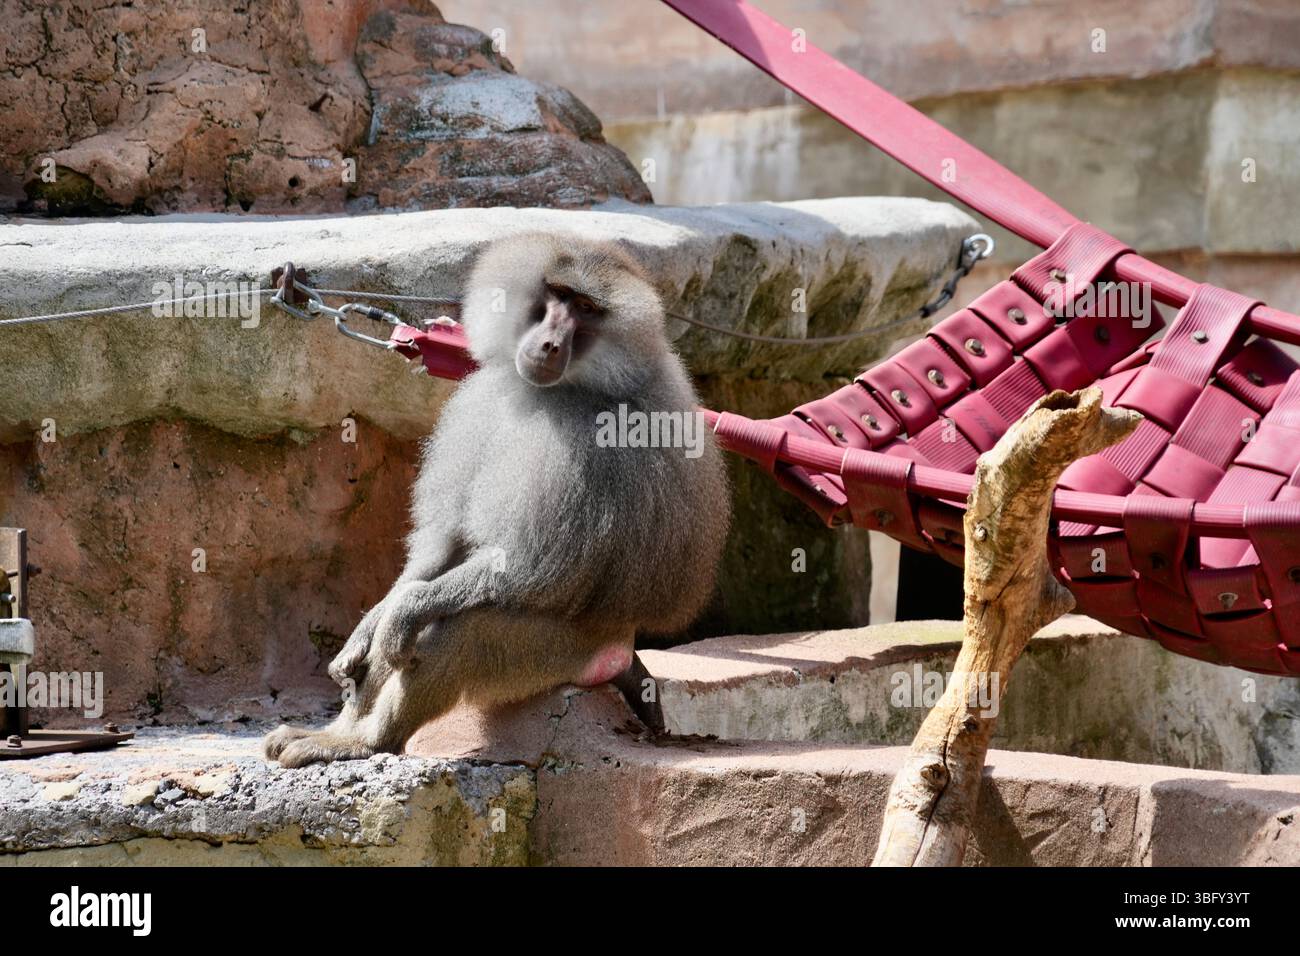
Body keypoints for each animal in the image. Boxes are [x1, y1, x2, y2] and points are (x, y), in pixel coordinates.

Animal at [263, 233, 730, 767]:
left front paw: (401, 617)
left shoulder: (589, 450)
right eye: (559, 296)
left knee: (453, 632)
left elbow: (529, 567)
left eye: (587, 309)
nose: (549, 344)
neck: (561, 388)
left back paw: (365, 741)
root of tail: (619, 652)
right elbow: (440, 549)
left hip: (559, 654)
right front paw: (367, 629)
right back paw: (334, 728)